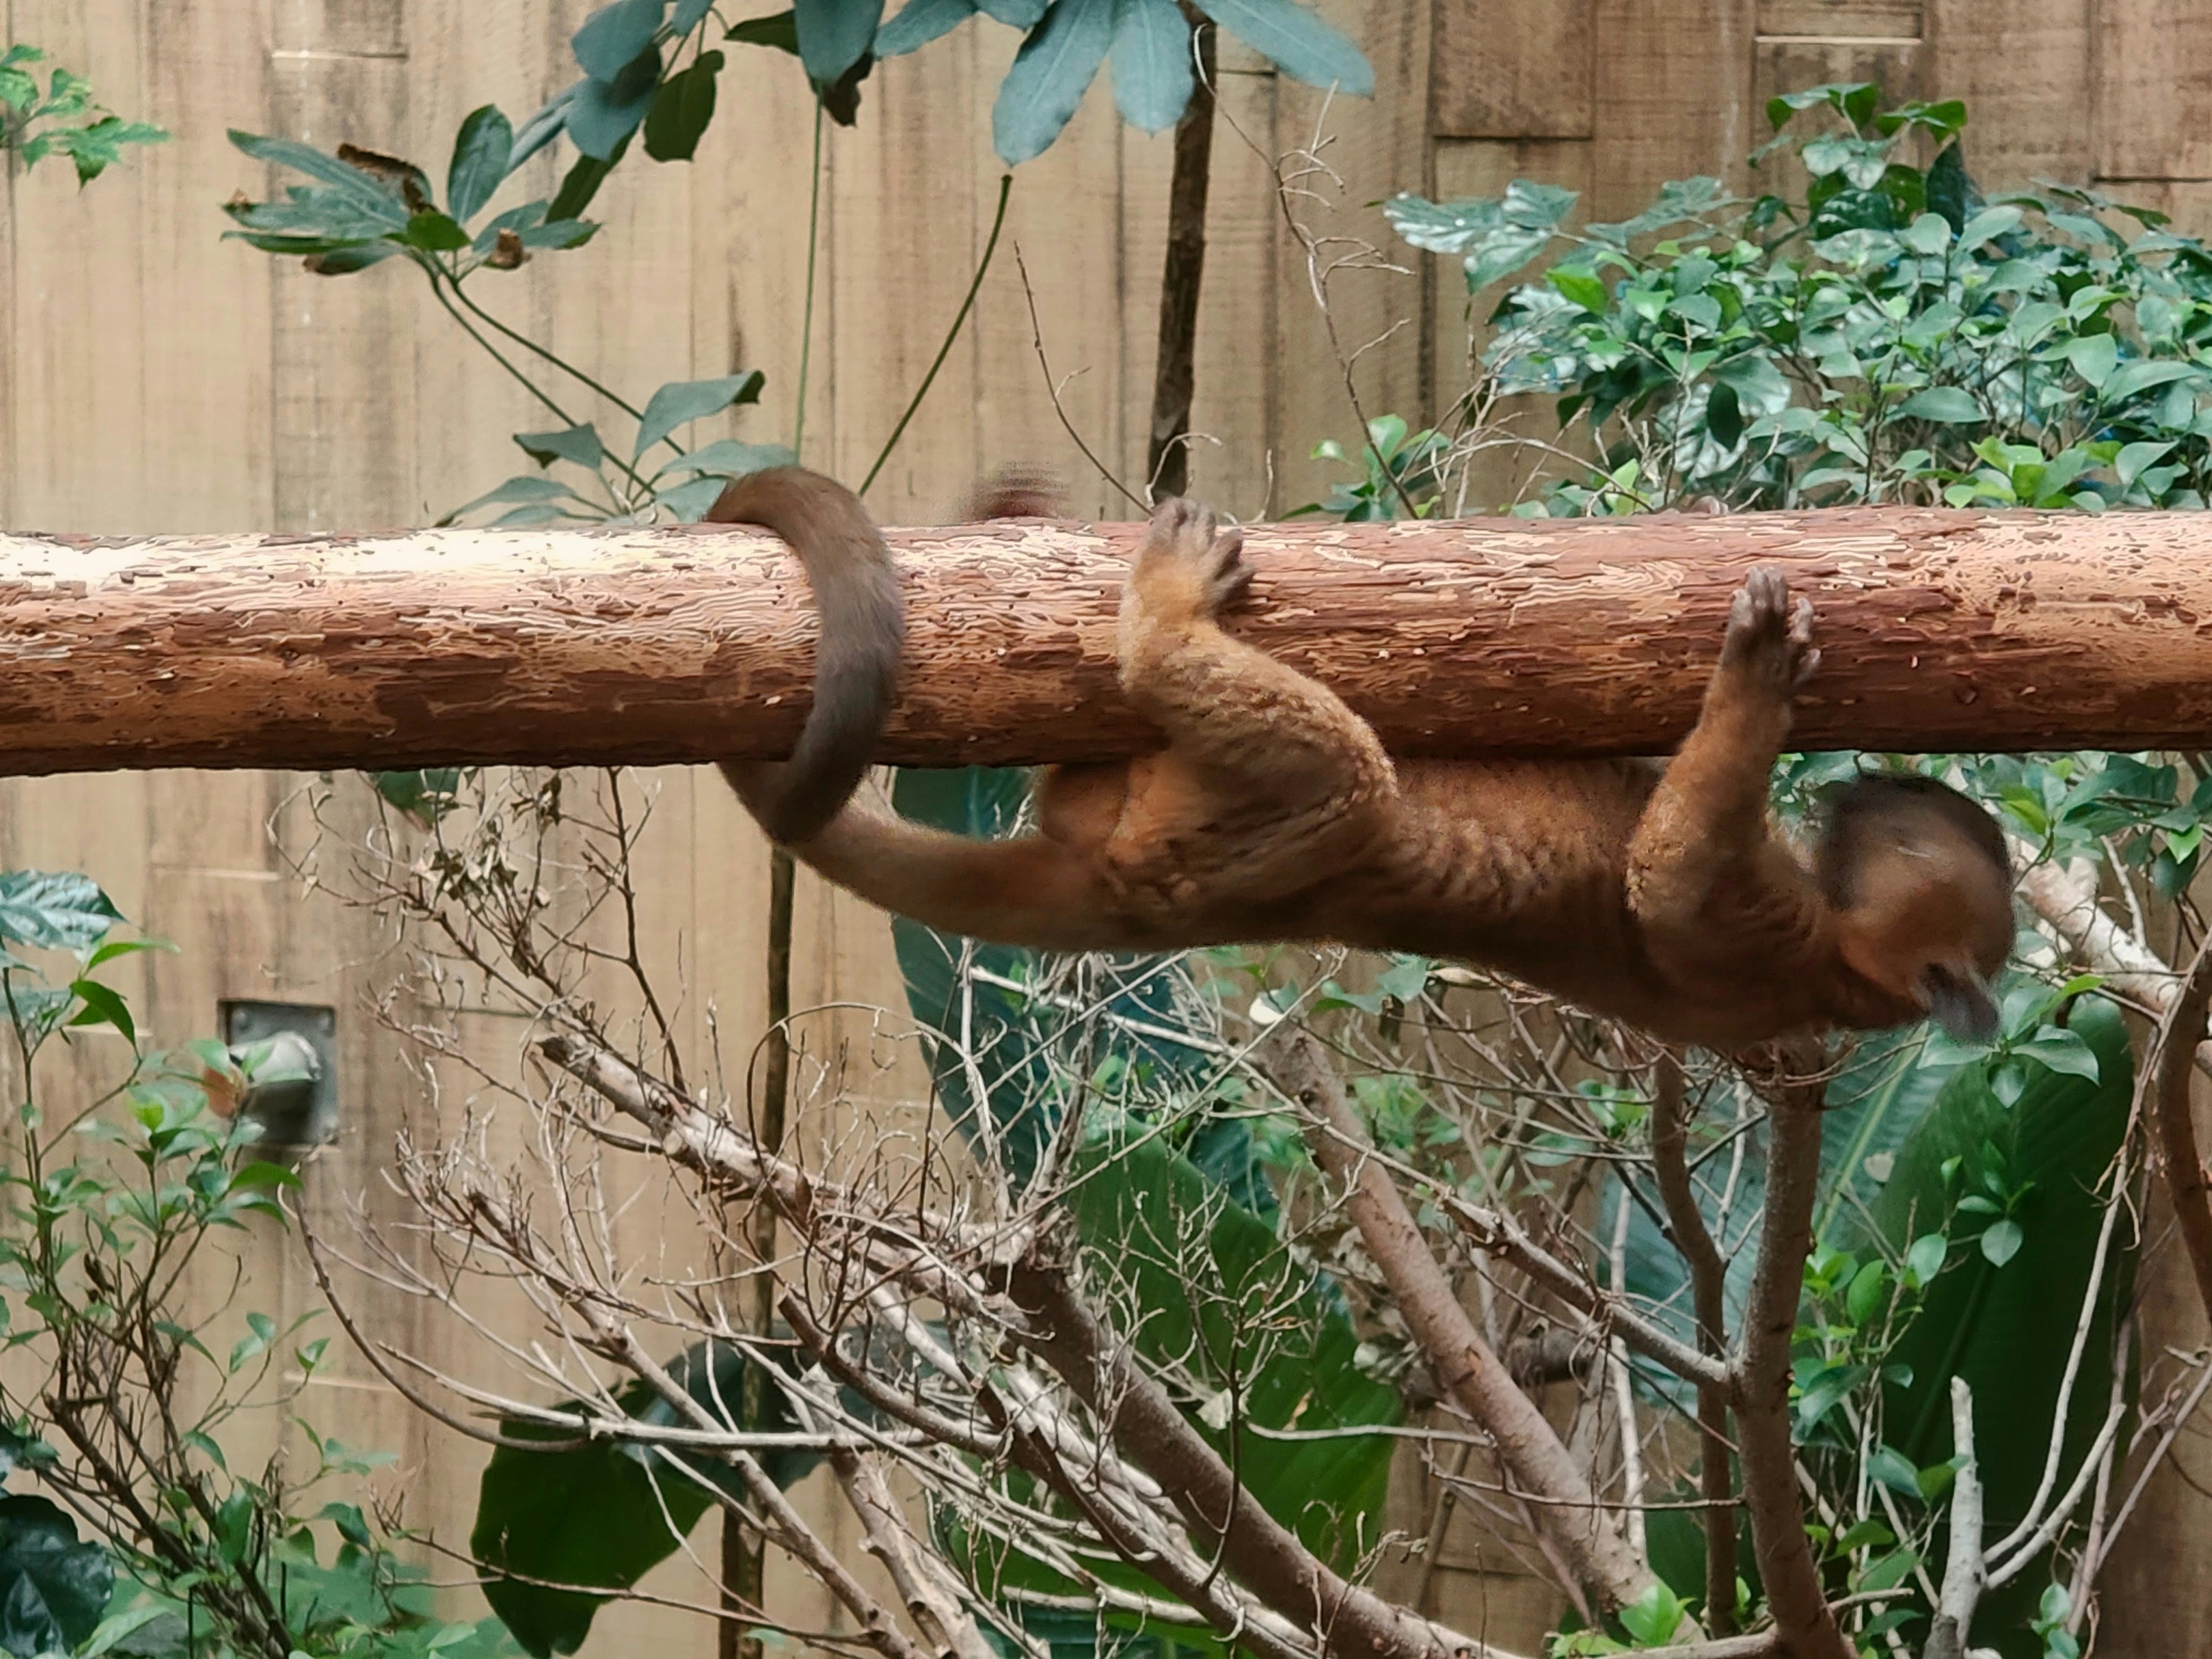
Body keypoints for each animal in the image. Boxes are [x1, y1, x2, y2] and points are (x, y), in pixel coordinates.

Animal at [713, 472, 2014, 1053]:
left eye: (1912, 826)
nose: (1873, 786)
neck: (1842, 976)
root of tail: (1125, 899)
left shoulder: (1763, 941)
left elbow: (1671, 877)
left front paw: (1753, 675)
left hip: (1238, 825)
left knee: (1329, 769)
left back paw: (1164, 609)